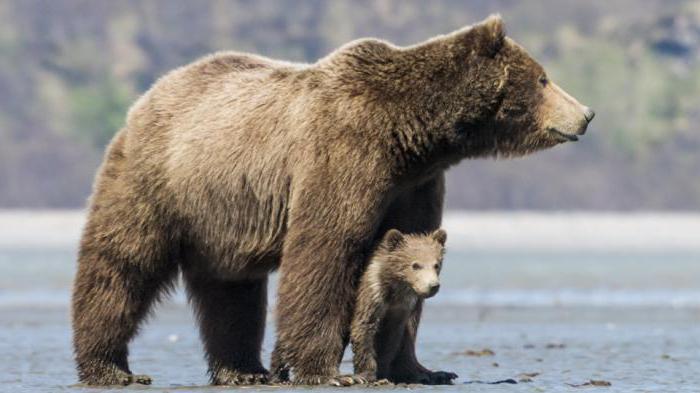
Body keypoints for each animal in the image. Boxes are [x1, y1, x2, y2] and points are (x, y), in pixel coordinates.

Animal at [72, 14, 592, 386]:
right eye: (543, 79)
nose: (585, 113)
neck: (412, 135)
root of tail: (150, 94)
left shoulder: (415, 182)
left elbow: (410, 247)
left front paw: (423, 368)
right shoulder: (344, 154)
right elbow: (325, 250)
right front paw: (330, 371)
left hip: (224, 213)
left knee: (232, 288)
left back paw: (243, 370)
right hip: (159, 181)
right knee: (121, 264)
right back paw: (110, 367)